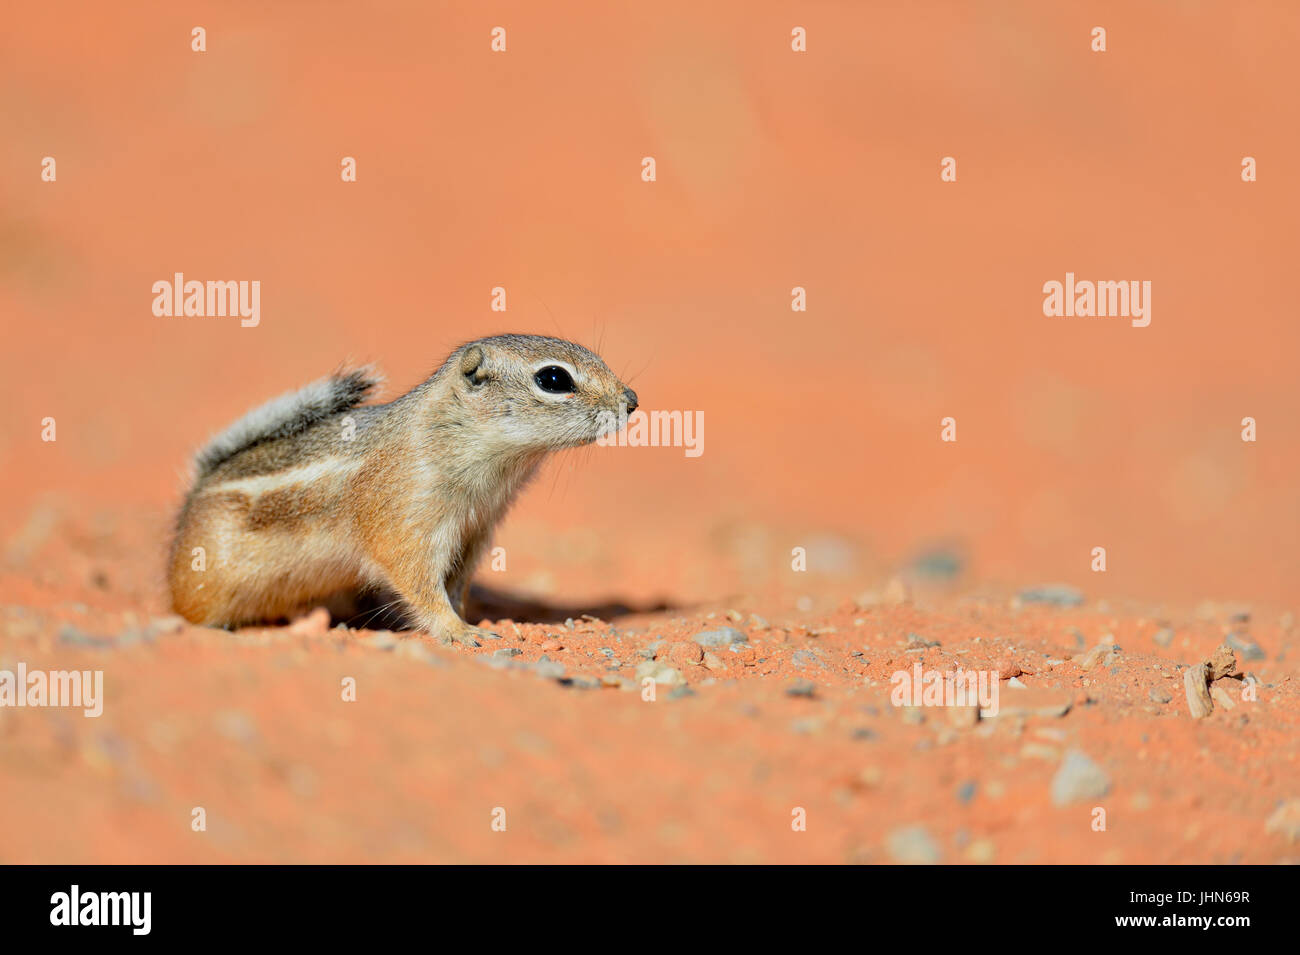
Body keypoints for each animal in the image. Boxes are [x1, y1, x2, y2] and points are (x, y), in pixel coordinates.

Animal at [168, 334, 637, 645]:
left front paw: (469, 620)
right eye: (554, 378)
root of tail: (192, 498)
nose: (631, 400)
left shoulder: (475, 534)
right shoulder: (406, 523)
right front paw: (459, 631)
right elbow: (420, 585)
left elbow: (455, 587)